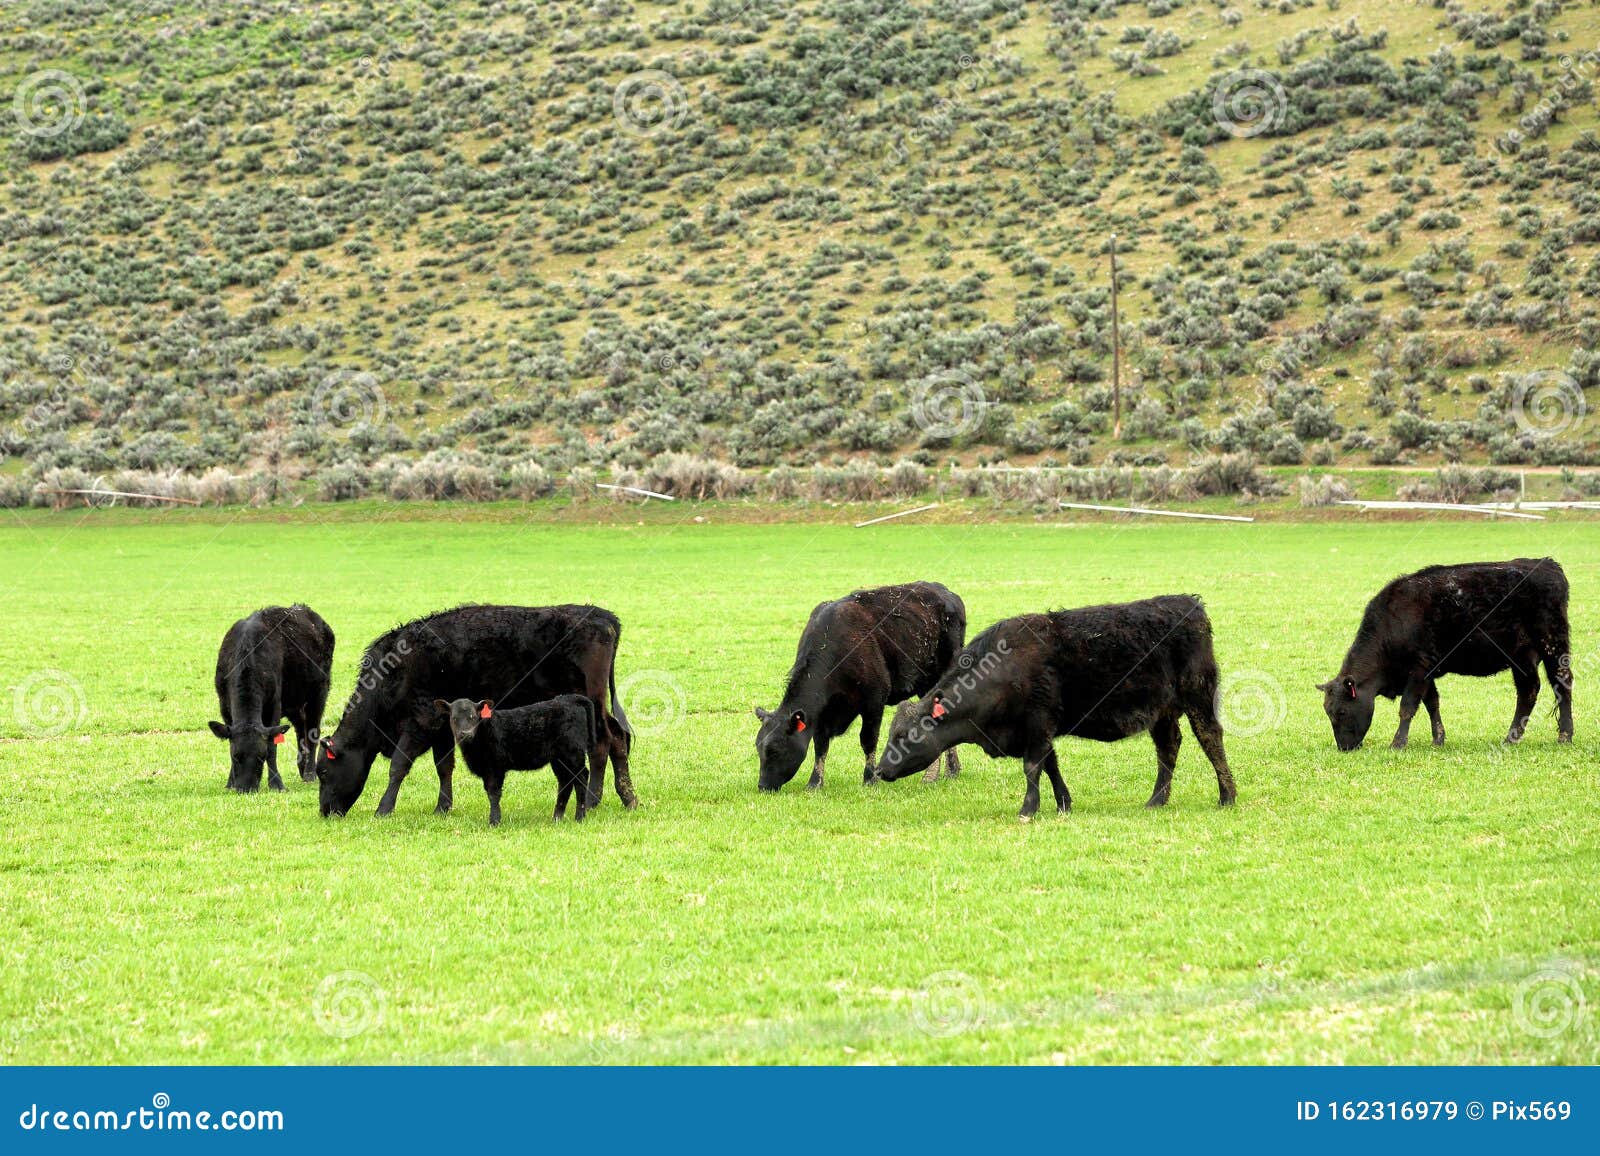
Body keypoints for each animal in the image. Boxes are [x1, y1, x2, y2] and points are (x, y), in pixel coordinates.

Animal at [209, 604, 334, 792]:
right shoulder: (224, 707)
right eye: (236, 756)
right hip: (295, 703)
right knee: (301, 730)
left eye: (261, 757)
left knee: (313, 732)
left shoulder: (274, 706)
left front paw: (276, 783)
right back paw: (301, 767)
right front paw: (230, 782)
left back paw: (309, 773)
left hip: (318, 694)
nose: (246, 788)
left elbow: (272, 747)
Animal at [433, 695, 596, 826]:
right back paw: (557, 818)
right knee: (565, 781)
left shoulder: (495, 767)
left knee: (581, 778)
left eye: (473, 716)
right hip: (559, 759)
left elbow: (493, 793)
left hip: (573, 753)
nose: (465, 734)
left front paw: (494, 821)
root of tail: (568, 699)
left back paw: (579, 817)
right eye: (454, 718)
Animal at [755, 581, 966, 792]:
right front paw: (815, 783)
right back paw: (946, 772)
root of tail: (945, 592)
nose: (763, 786)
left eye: (775, 750)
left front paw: (870, 778)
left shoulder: (874, 700)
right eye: (758, 748)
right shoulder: (822, 713)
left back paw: (937, 774)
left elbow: (868, 740)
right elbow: (820, 745)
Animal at [877, 595, 1238, 817]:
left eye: (905, 736)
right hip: (1162, 713)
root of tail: (1189, 604)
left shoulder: (1038, 723)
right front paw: (1063, 803)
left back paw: (1227, 796)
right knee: (1168, 748)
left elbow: (1033, 766)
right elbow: (1051, 765)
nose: (879, 770)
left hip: (1198, 696)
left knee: (1210, 739)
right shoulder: (1039, 731)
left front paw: (1028, 809)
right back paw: (1156, 800)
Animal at [1318, 558, 1574, 751]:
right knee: (1528, 691)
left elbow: (1407, 707)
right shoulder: (1427, 671)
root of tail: (1548, 564)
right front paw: (1438, 739)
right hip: (1522, 656)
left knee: (1563, 684)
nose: (1344, 747)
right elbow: (1432, 703)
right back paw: (1511, 738)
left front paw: (1398, 743)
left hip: (1553, 645)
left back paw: (1565, 735)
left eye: (1341, 711)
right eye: (1328, 712)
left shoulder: (1418, 669)